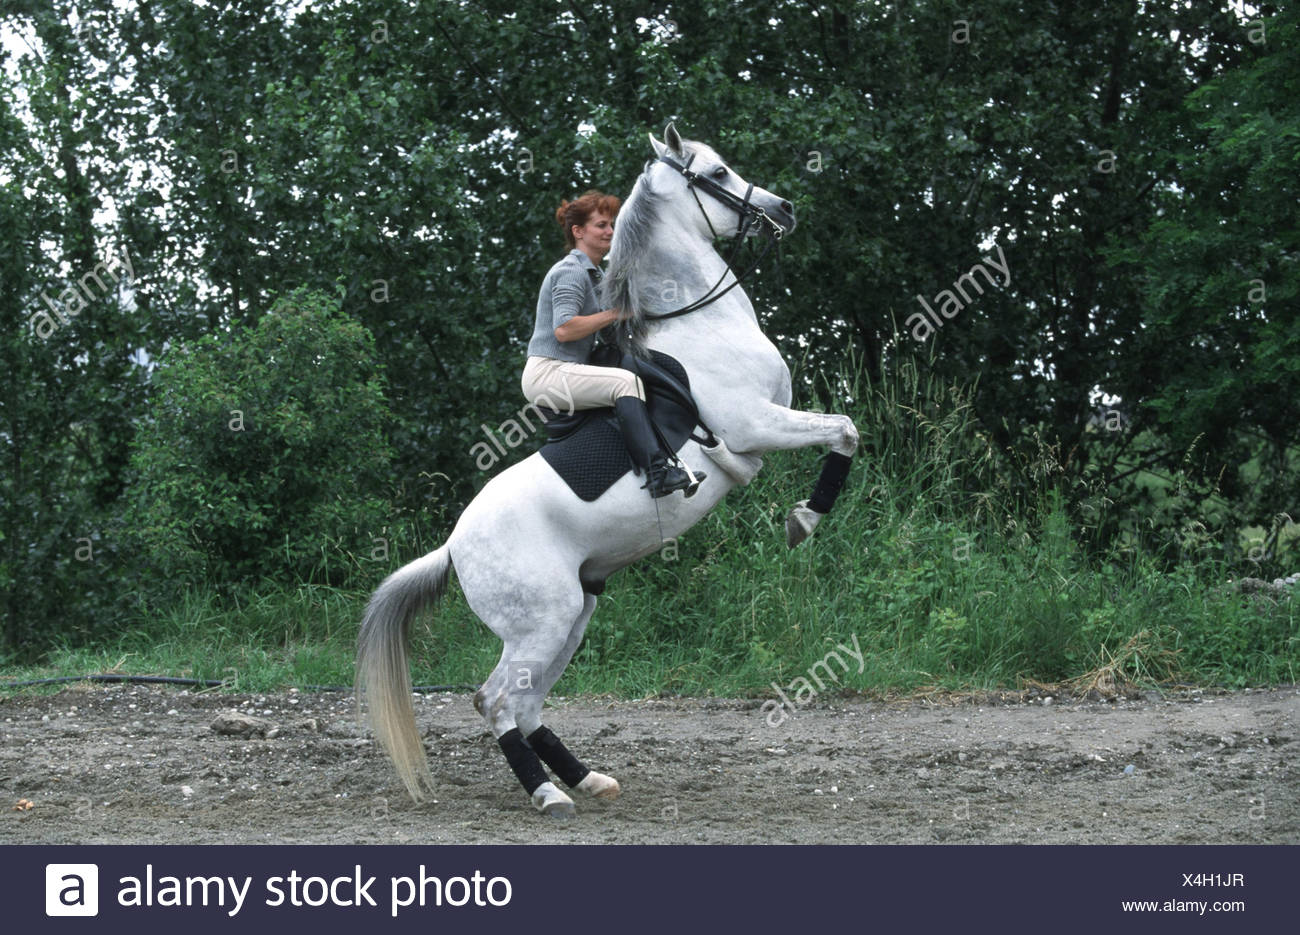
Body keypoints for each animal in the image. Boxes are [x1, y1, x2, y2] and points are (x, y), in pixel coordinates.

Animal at [356, 123, 860, 817]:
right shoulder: (756, 424)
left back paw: (586, 778)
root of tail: (454, 546)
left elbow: (845, 428)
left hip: (573, 615)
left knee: (527, 703)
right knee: (495, 700)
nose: (782, 209)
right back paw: (547, 793)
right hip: (541, 622)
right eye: (719, 173)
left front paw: (804, 517)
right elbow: (844, 429)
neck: (700, 322)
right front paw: (805, 519)